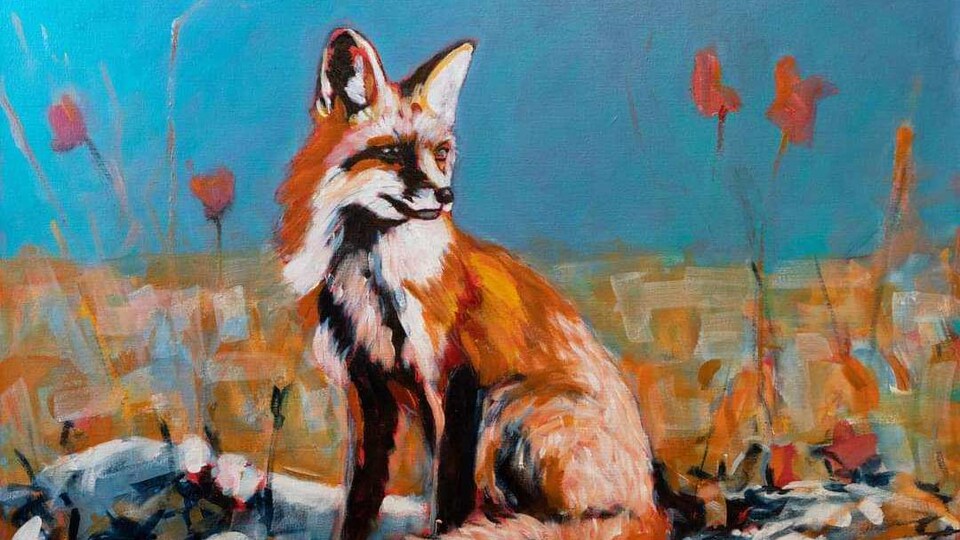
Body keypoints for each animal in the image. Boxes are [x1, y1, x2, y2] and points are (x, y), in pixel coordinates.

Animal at [276, 28, 669, 540]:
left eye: (441, 153)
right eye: (393, 153)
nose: (446, 195)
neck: (371, 281)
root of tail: (650, 504)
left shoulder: (453, 382)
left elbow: (449, 487)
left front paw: (444, 530)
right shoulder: (368, 391)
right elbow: (362, 493)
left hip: (508, 406)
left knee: (556, 519)